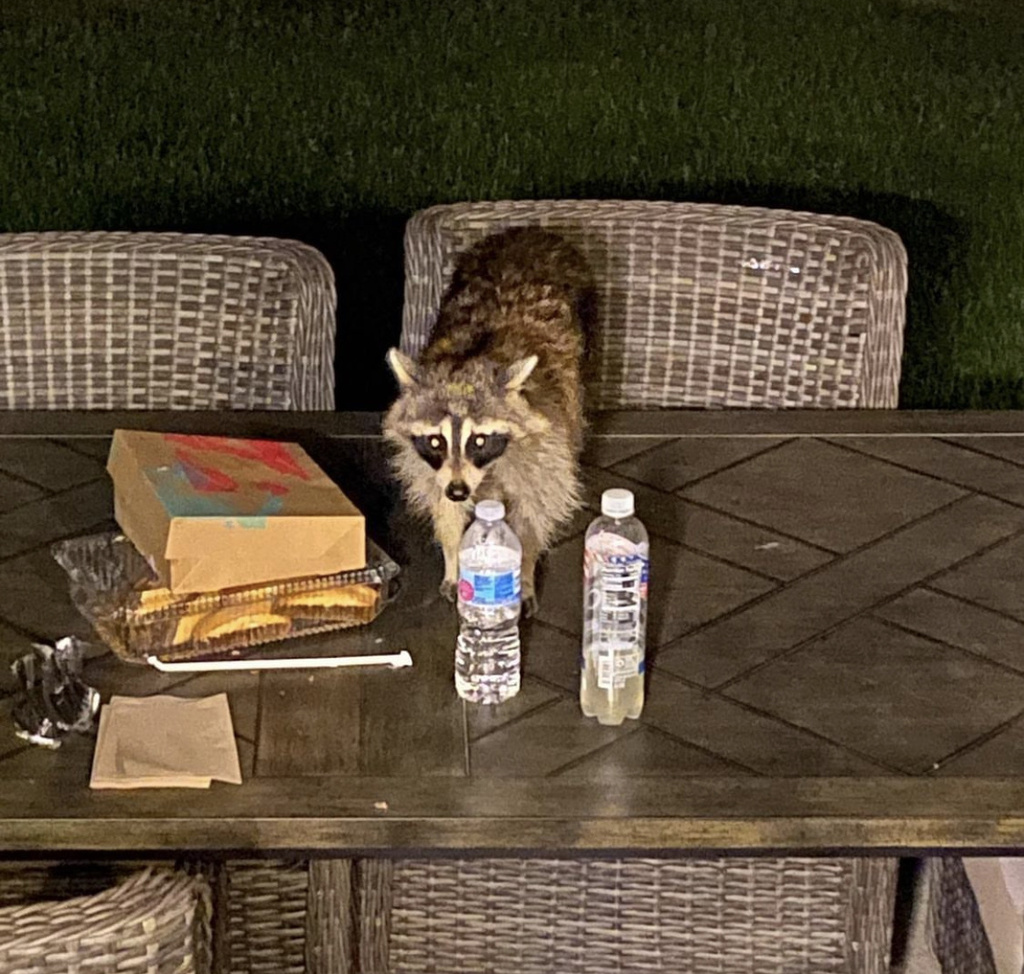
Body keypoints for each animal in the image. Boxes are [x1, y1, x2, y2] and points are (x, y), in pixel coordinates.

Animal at [383, 226, 596, 614]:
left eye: (479, 440)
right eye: (435, 441)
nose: (458, 490)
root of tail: (528, 232)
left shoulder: (546, 438)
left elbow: (535, 508)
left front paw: (524, 568)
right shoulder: (430, 466)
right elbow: (441, 504)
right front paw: (454, 557)